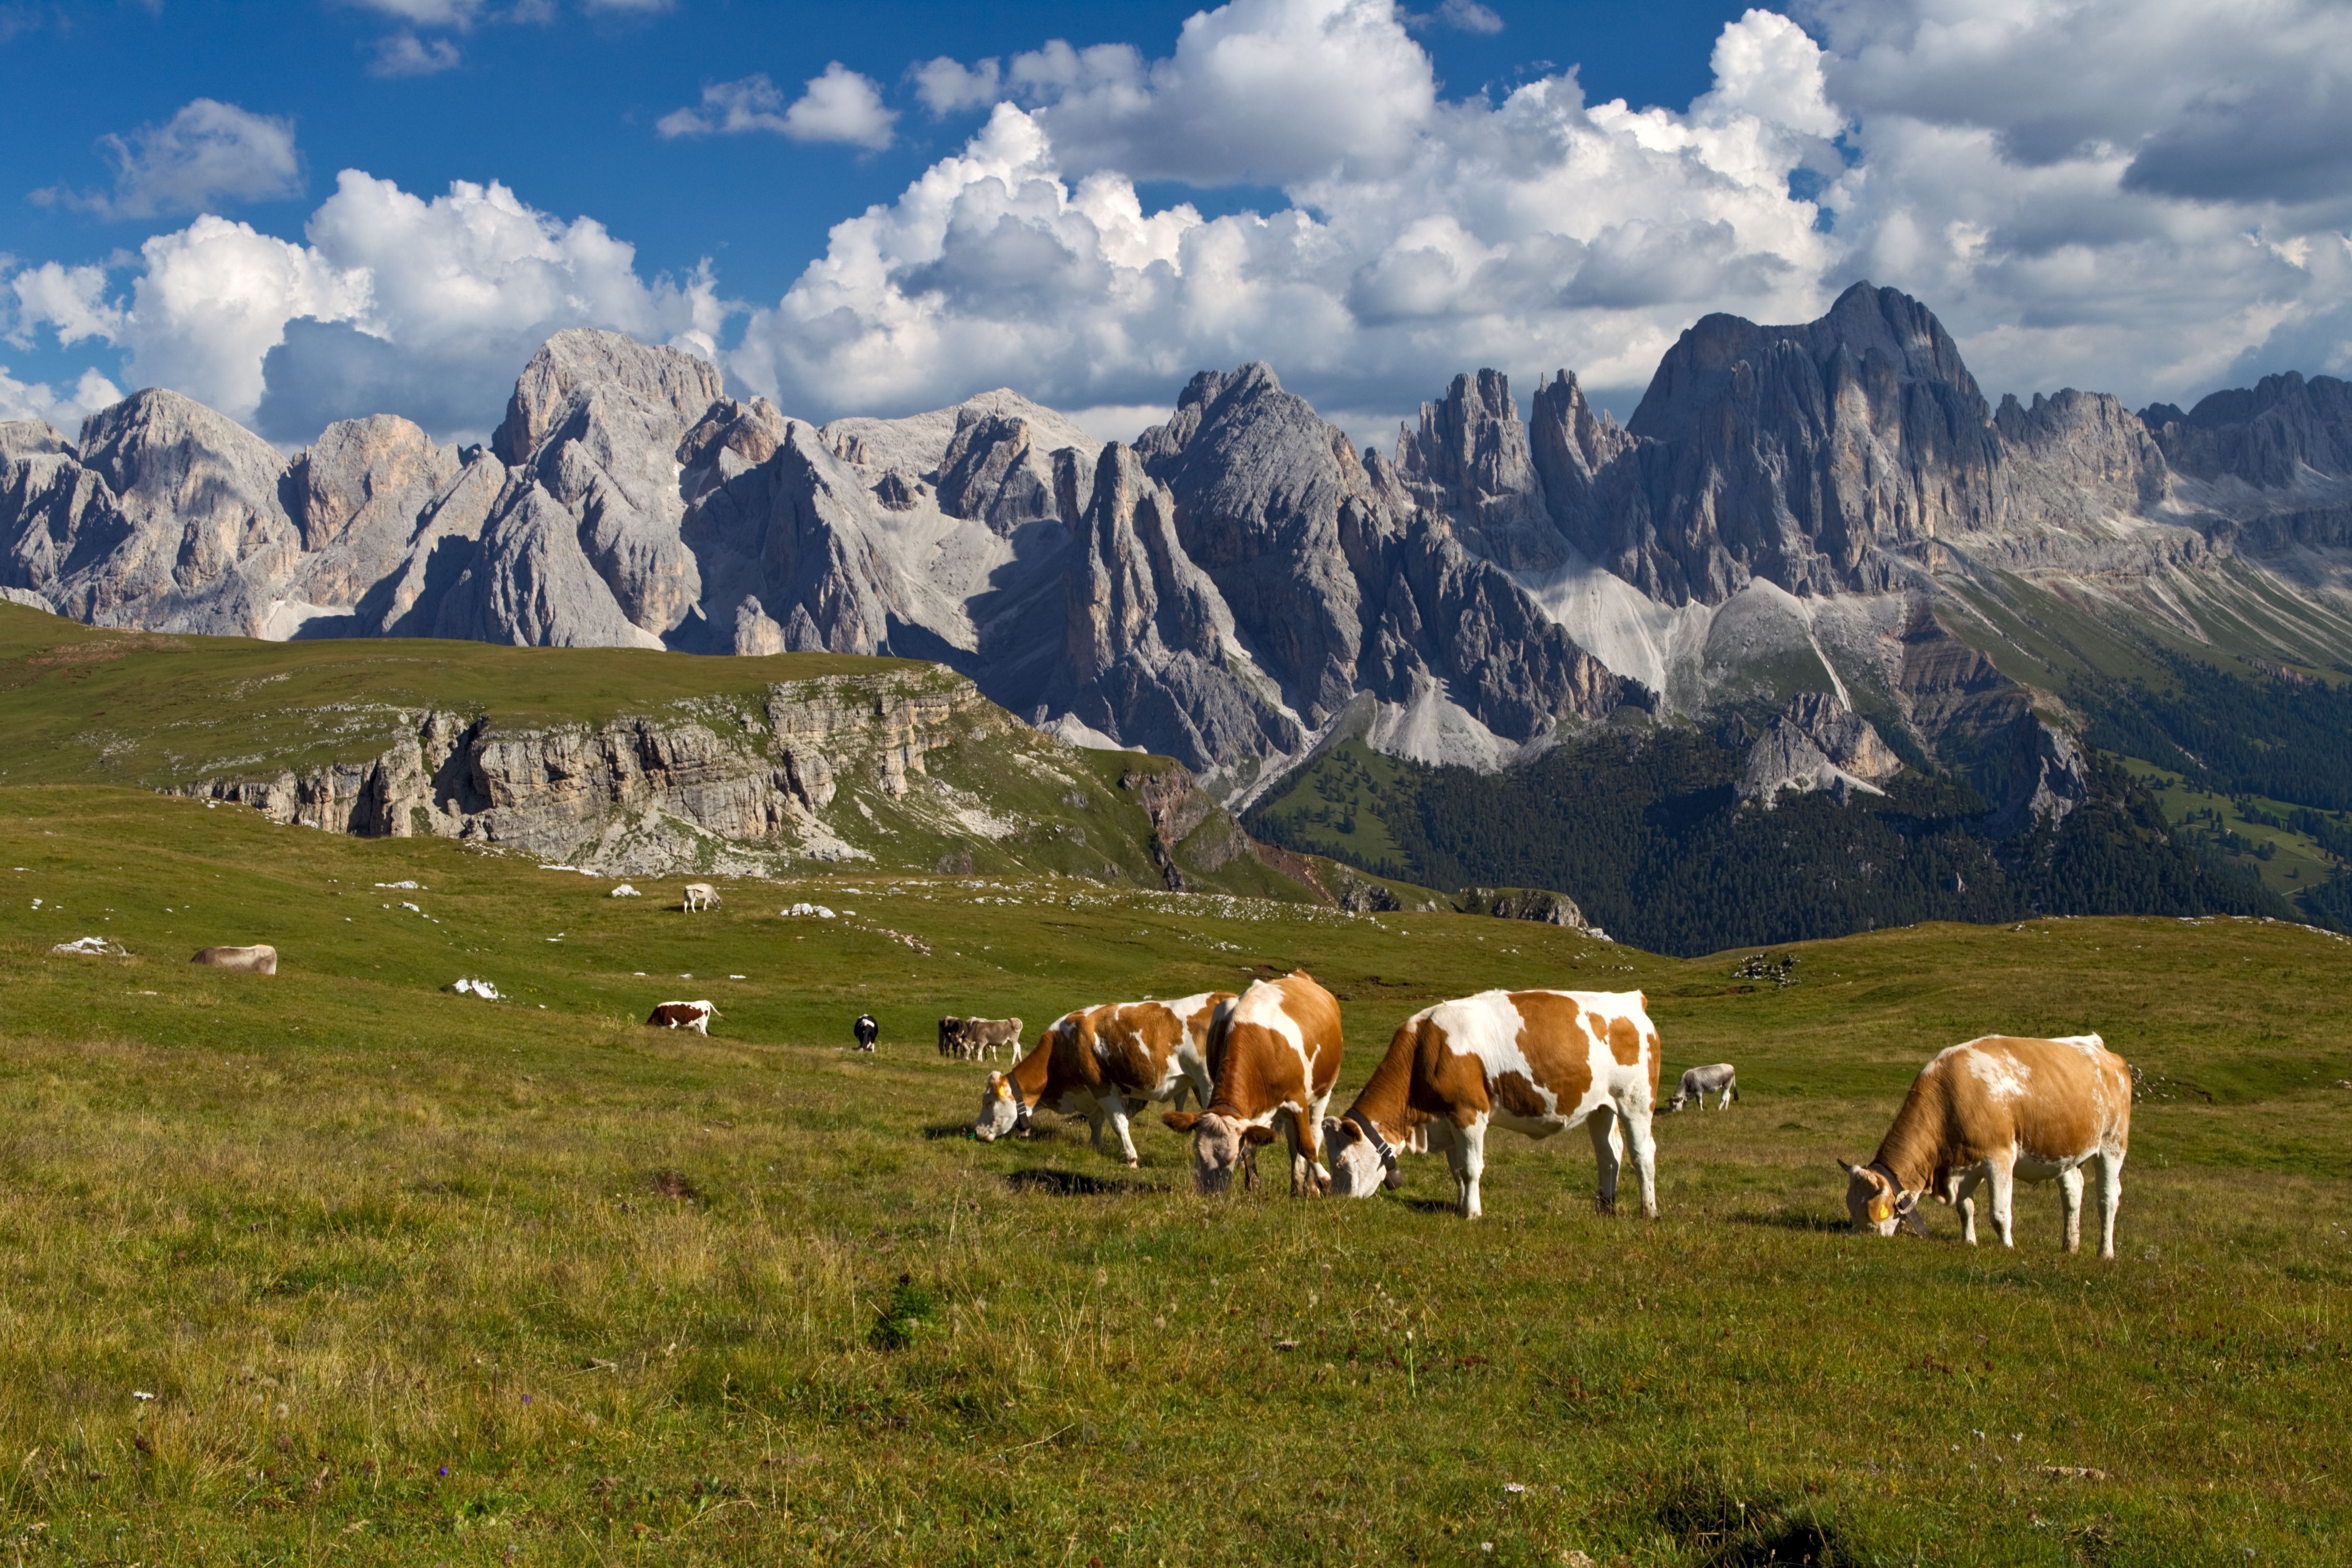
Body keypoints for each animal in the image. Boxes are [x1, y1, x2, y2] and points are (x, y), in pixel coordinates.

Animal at [975, 992, 1234, 1164]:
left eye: (988, 1102)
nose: (976, 1131)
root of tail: (1225, 996)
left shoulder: (1103, 1088)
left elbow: (1120, 1124)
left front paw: (1131, 1158)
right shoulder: (1093, 1090)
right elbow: (1096, 1122)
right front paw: (1095, 1146)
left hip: (1209, 1084)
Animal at [1164, 972, 1343, 1196]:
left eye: (1231, 1159)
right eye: (1197, 1152)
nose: (1210, 1193)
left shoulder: (1297, 1099)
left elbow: (1306, 1144)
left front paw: (1325, 1182)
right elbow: (1252, 1146)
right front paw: (1254, 1186)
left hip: (1323, 1091)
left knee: (1315, 1134)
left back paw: (1310, 1186)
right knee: (1292, 1142)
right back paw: (1296, 1186)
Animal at [1323, 989, 1662, 1220]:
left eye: (1340, 1163)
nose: (1337, 1203)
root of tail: (1631, 1000)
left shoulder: (1469, 1112)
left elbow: (1472, 1167)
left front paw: (1472, 1213)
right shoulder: (1448, 1119)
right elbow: (1457, 1170)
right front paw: (1461, 1205)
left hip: (1635, 1100)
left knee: (1643, 1154)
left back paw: (1649, 1212)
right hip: (1601, 1107)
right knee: (1609, 1155)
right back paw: (1605, 1208)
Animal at [1668, 1062, 1739, 1112]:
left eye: (1675, 1105)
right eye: (1670, 1105)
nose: (1673, 1112)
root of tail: (1731, 1067)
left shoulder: (1698, 1091)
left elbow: (1700, 1102)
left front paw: (1702, 1110)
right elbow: (1685, 1103)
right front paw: (1684, 1110)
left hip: (1726, 1086)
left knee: (1723, 1099)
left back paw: (1719, 1109)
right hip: (1725, 1088)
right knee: (1728, 1096)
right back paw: (1725, 1109)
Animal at [1839, 1033, 2132, 1257]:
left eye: (1871, 1215)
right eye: (1851, 1210)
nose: (1861, 1241)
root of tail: (2101, 1048)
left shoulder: (1999, 1158)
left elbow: (1999, 1214)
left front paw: (2008, 1247)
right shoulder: (1964, 1165)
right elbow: (1965, 1208)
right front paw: (1969, 1241)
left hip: (2113, 1144)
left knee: (2108, 1199)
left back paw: (2105, 1252)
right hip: (2064, 1150)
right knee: (2073, 1192)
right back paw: (2070, 1247)